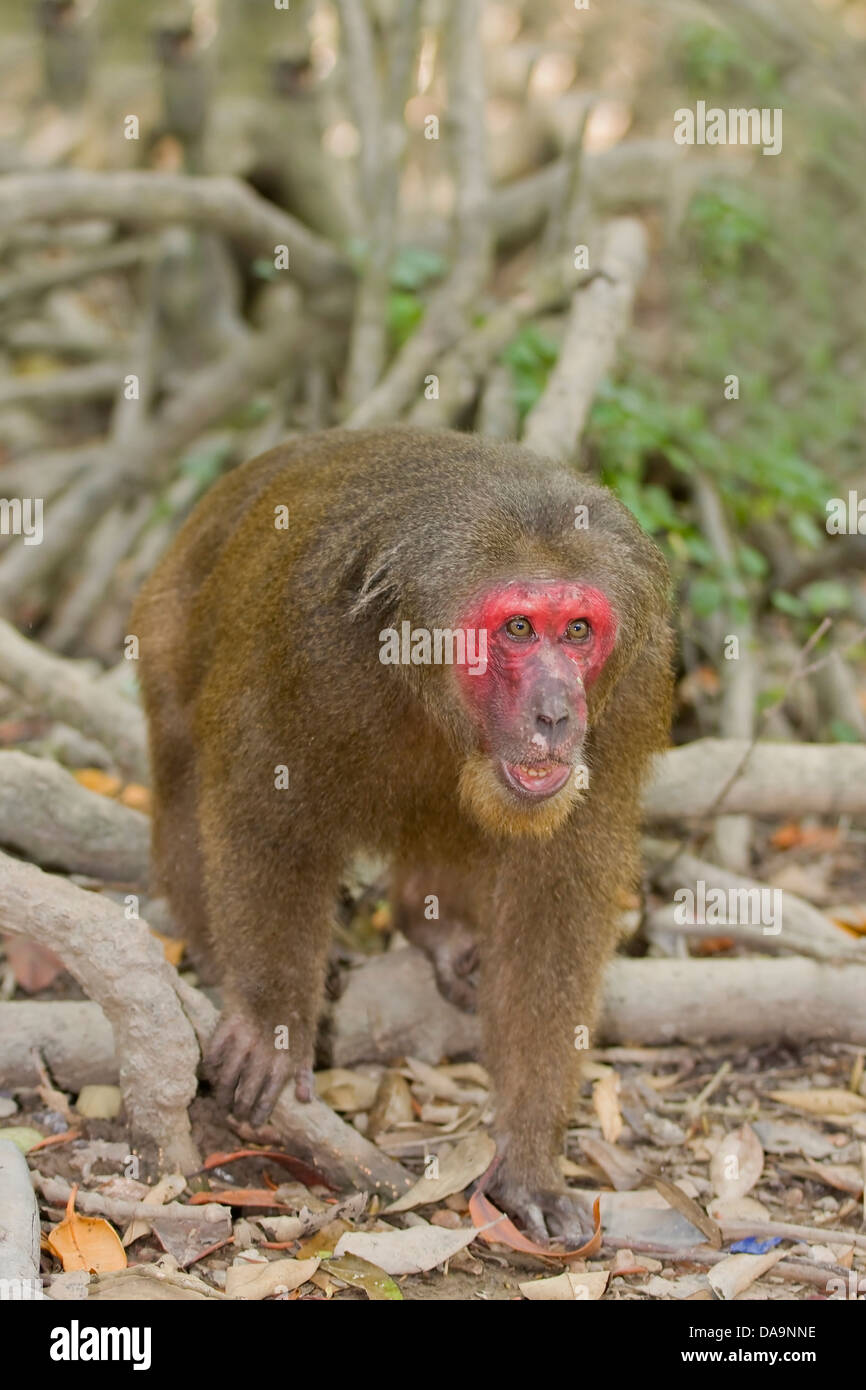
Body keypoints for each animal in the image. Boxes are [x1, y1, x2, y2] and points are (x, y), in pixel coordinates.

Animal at [132, 426, 674, 1244]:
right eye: (519, 628)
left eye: (579, 631)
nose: (556, 713)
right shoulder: (305, 640)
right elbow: (262, 803)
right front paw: (270, 1017)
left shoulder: (630, 687)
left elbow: (556, 900)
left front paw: (529, 1156)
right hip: (166, 620)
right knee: (188, 755)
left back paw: (436, 925)